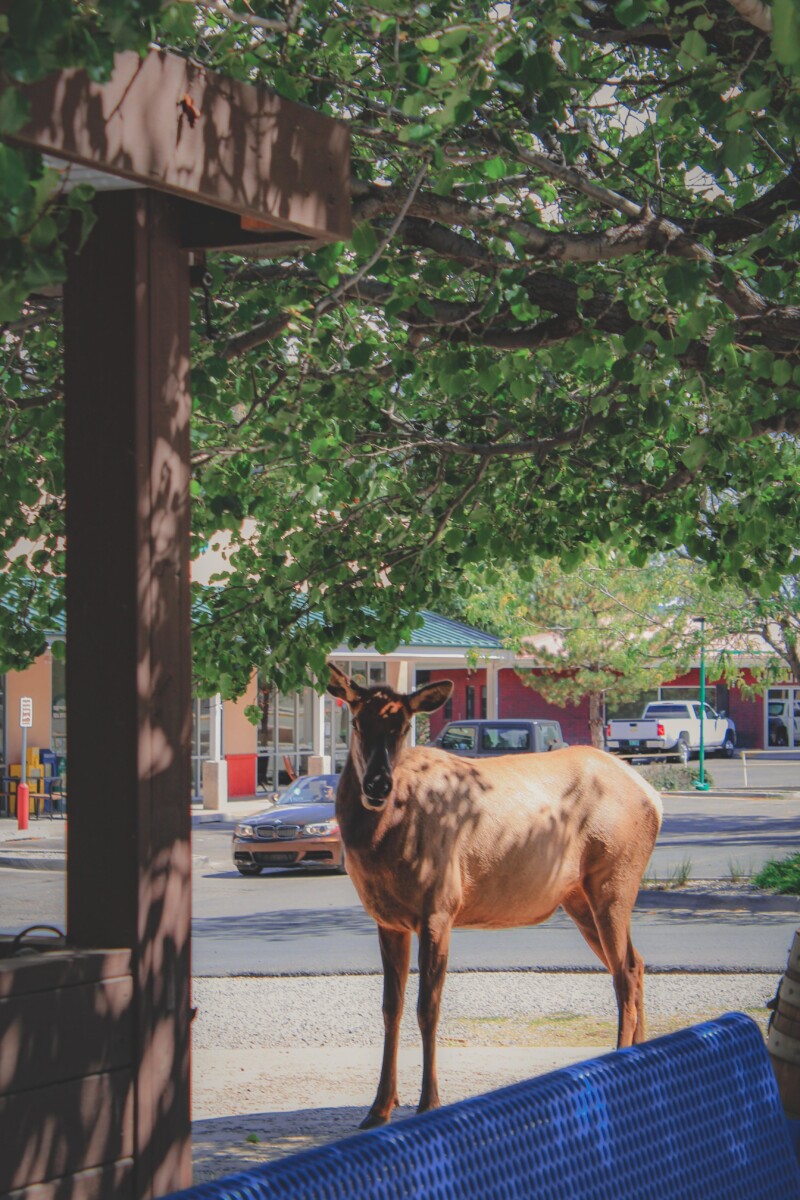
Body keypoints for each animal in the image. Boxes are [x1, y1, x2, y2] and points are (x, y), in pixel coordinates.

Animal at [326, 662, 662, 1128]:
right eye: (357, 721)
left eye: (404, 725)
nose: (377, 784)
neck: (381, 842)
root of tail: (655, 797)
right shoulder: (388, 919)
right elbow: (390, 1008)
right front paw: (379, 1108)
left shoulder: (439, 907)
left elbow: (428, 1007)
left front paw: (429, 1102)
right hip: (579, 896)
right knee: (635, 962)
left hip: (614, 880)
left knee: (625, 972)